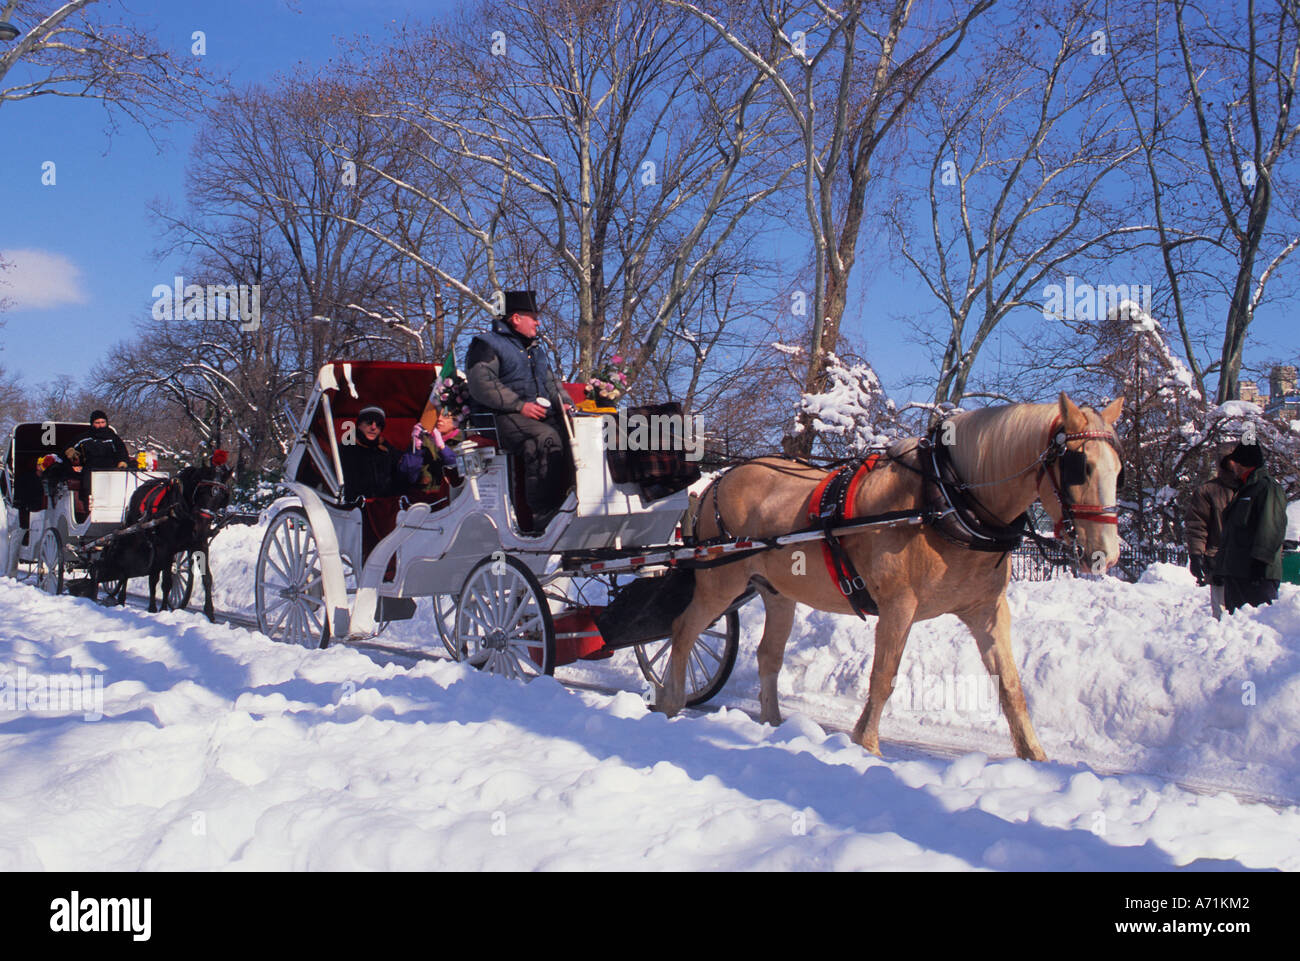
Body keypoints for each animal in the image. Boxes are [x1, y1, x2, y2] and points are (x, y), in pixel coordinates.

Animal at [656, 392, 1124, 762]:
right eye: (1079, 466)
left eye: (1119, 469)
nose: (1105, 553)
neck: (946, 500)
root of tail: (718, 481)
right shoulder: (899, 606)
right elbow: (884, 676)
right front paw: (866, 745)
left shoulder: (987, 611)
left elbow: (1010, 685)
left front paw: (1035, 756)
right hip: (720, 583)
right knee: (683, 631)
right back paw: (670, 702)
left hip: (776, 593)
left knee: (768, 654)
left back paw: (772, 725)